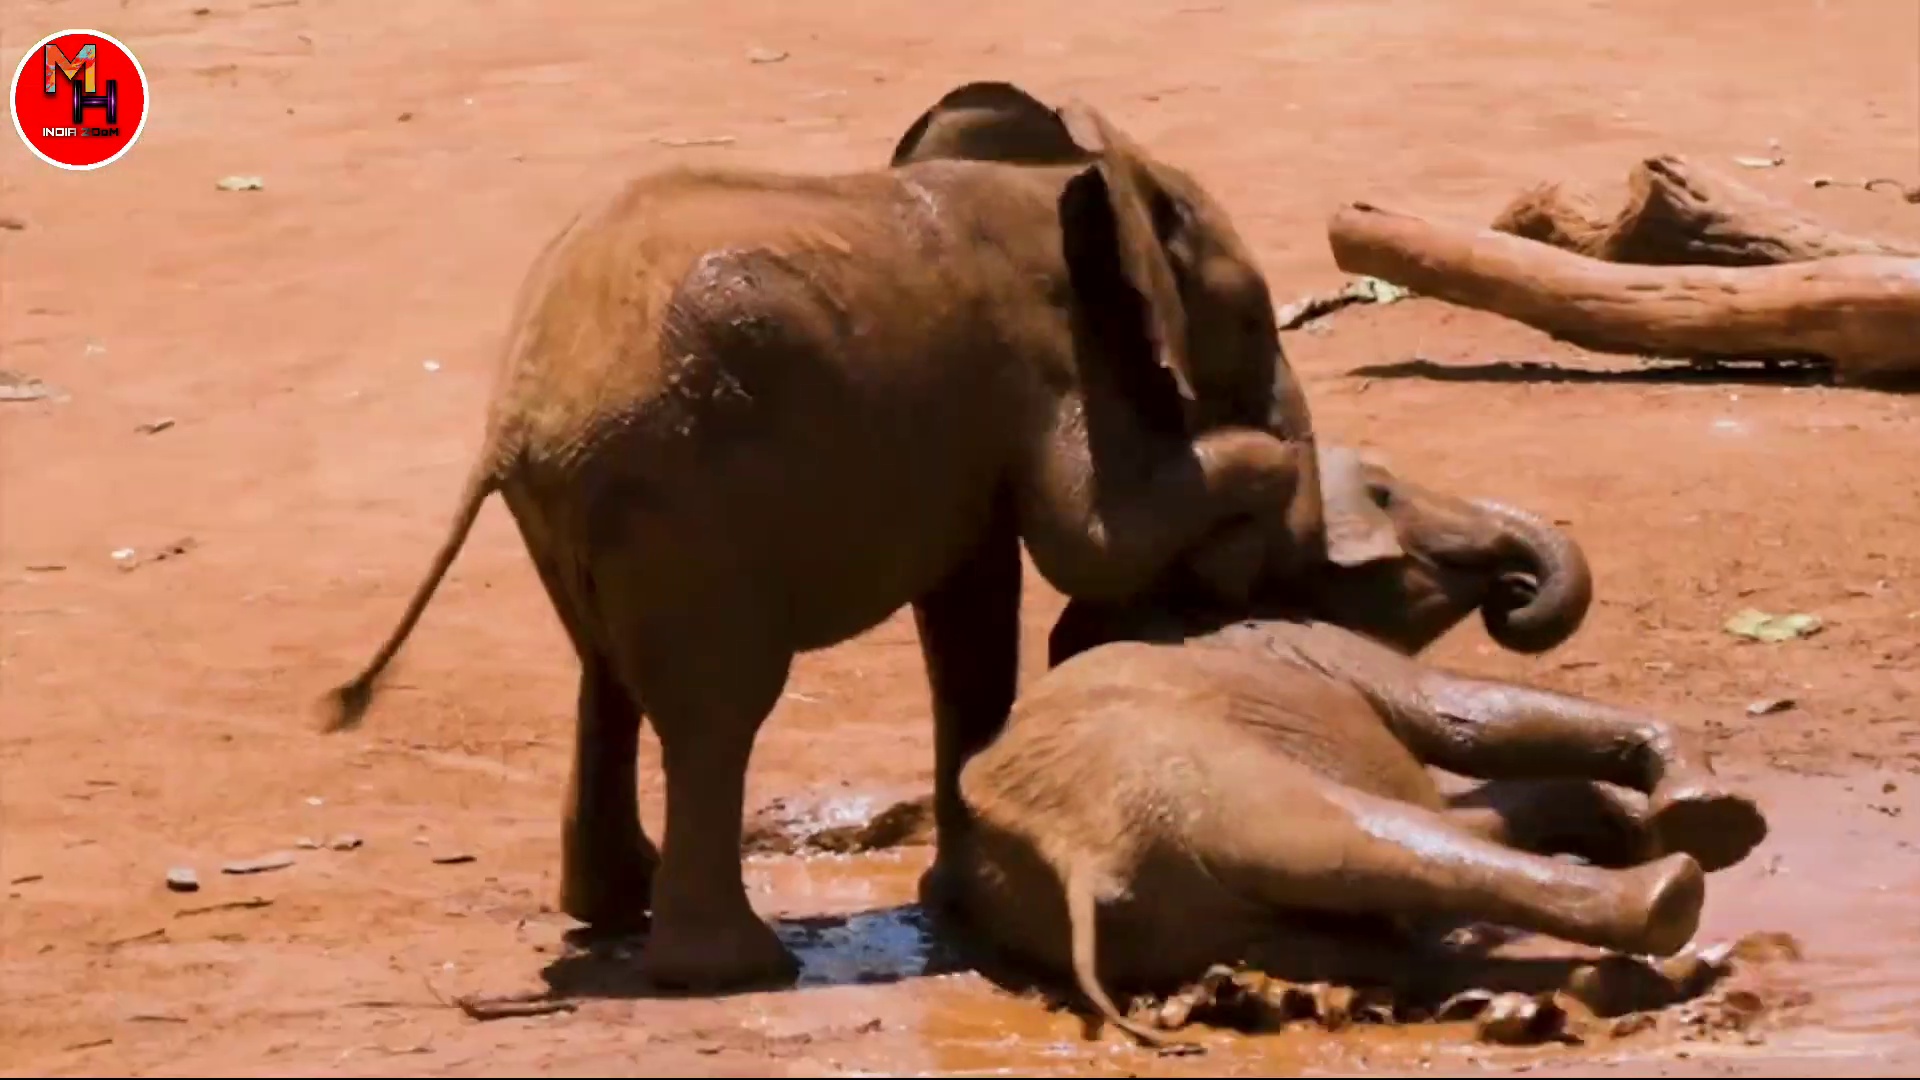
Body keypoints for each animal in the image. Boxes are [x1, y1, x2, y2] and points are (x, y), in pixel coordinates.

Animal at [318, 85, 1326, 992]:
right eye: (1253, 317)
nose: (1291, 569)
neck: (1077, 173)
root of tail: (514, 415)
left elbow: (970, 605)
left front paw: (957, 900)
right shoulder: (1049, 351)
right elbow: (1090, 538)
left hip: (588, 506)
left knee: (607, 679)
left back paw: (615, 912)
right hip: (683, 500)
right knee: (718, 711)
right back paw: (742, 969)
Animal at [938, 449, 1769, 1050]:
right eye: (1386, 493)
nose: (1514, 588)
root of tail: (1075, 856)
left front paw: (1643, 826)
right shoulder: (1308, 638)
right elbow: (1459, 718)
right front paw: (1710, 820)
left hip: (1180, 916)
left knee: (1386, 929)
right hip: (1194, 783)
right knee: (1373, 841)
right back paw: (1673, 903)